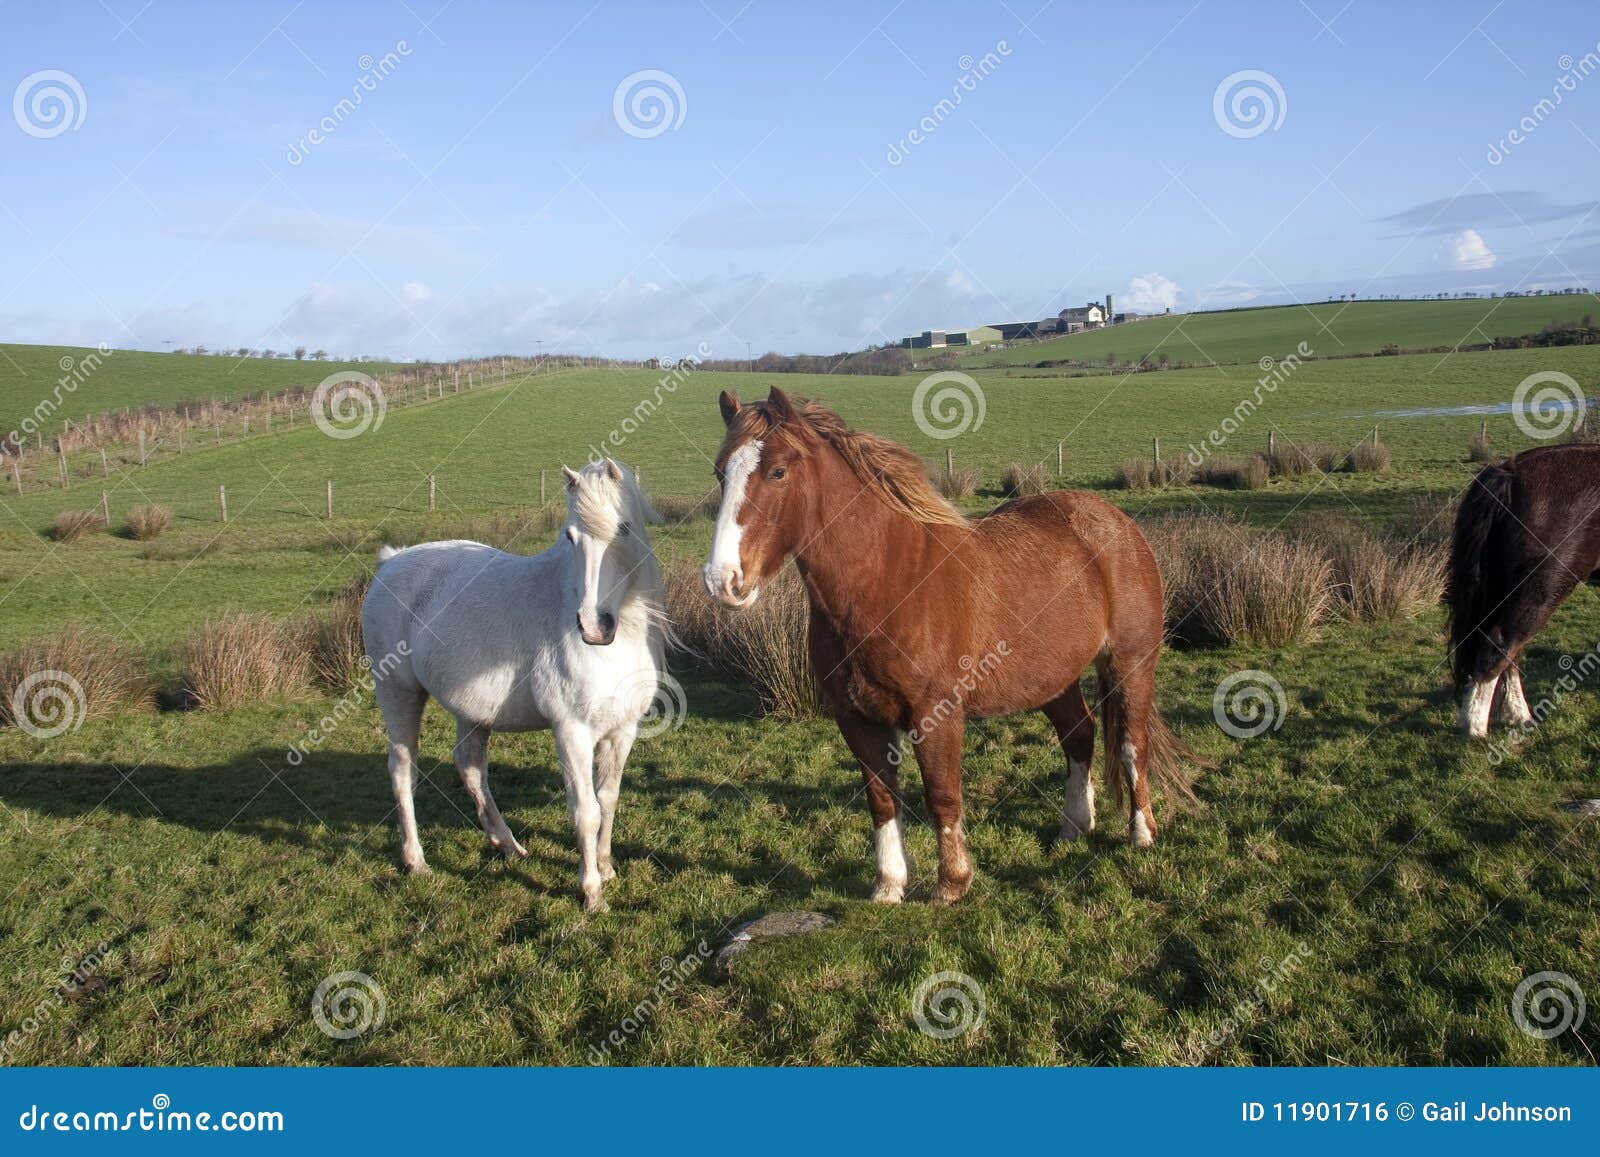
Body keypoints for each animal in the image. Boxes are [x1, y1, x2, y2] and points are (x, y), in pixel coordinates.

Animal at [361, 458, 666, 910]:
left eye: (624, 528)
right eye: (570, 537)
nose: (593, 626)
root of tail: (391, 562)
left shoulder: (622, 729)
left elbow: (608, 799)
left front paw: (607, 867)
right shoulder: (572, 732)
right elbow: (586, 811)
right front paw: (591, 892)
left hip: (471, 712)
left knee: (470, 768)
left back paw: (506, 844)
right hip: (399, 695)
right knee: (403, 771)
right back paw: (416, 861)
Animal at [702, 386, 1198, 904]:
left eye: (778, 471)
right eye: (720, 473)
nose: (723, 581)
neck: (887, 581)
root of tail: (1118, 523)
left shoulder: (935, 713)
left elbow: (942, 794)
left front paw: (952, 883)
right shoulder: (855, 718)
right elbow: (882, 799)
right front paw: (888, 885)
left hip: (1130, 665)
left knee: (1132, 743)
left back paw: (1141, 833)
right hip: (1053, 677)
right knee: (1079, 734)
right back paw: (1074, 827)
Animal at [1447, 442, 1600, 738]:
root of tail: (1511, 472)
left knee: (1509, 652)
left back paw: (1518, 715)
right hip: (1541, 590)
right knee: (1499, 646)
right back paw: (1475, 726)